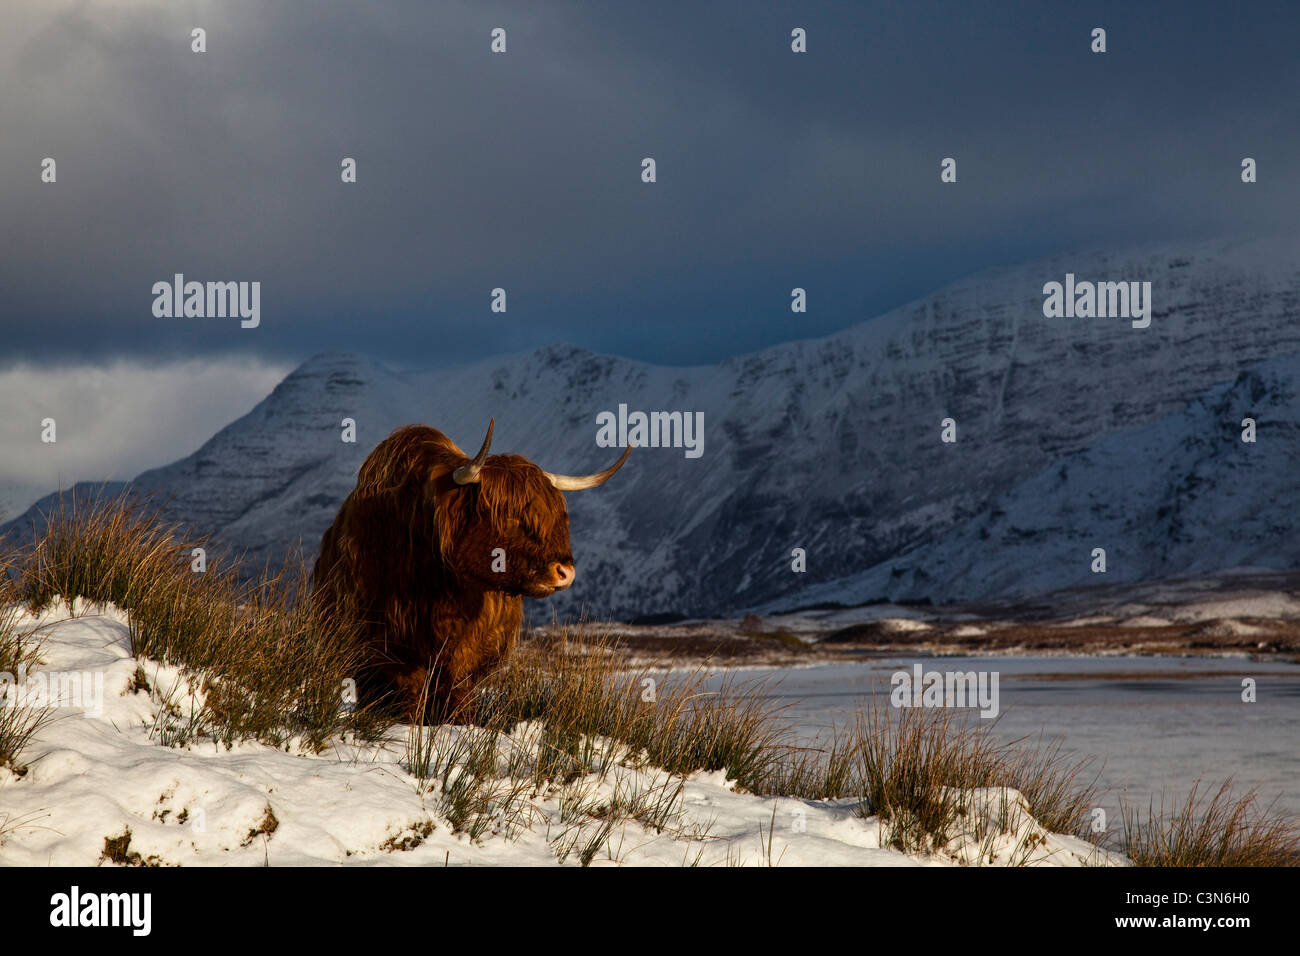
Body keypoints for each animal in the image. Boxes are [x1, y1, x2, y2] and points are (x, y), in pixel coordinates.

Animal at [311, 420, 629, 721]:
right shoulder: (393, 653)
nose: (565, 572)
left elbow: (457, 701)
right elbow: (408, 700)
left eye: (559, 518)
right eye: (510, 516)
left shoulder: (466, 657)